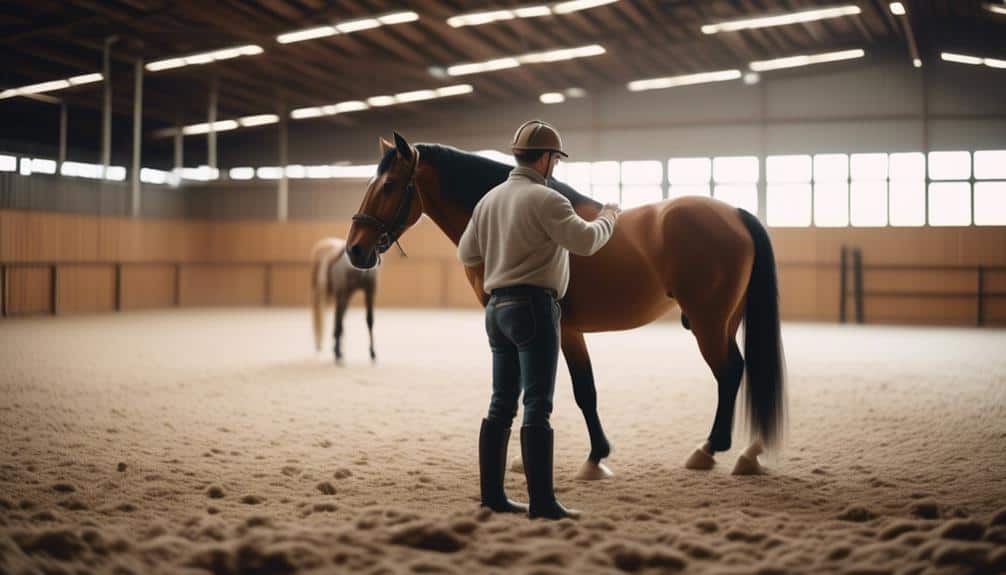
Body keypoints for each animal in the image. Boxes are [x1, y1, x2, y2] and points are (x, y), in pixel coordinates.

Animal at [346, 133, 786, 478]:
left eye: (389, 186)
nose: (355, 249)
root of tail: (736, 214)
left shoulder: (561, 329)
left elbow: (582, 391)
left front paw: (595, 458)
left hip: (709, 324)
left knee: (730, 372)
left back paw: (711, 450)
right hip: (727, 320)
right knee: (741, 370)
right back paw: (747, 452)